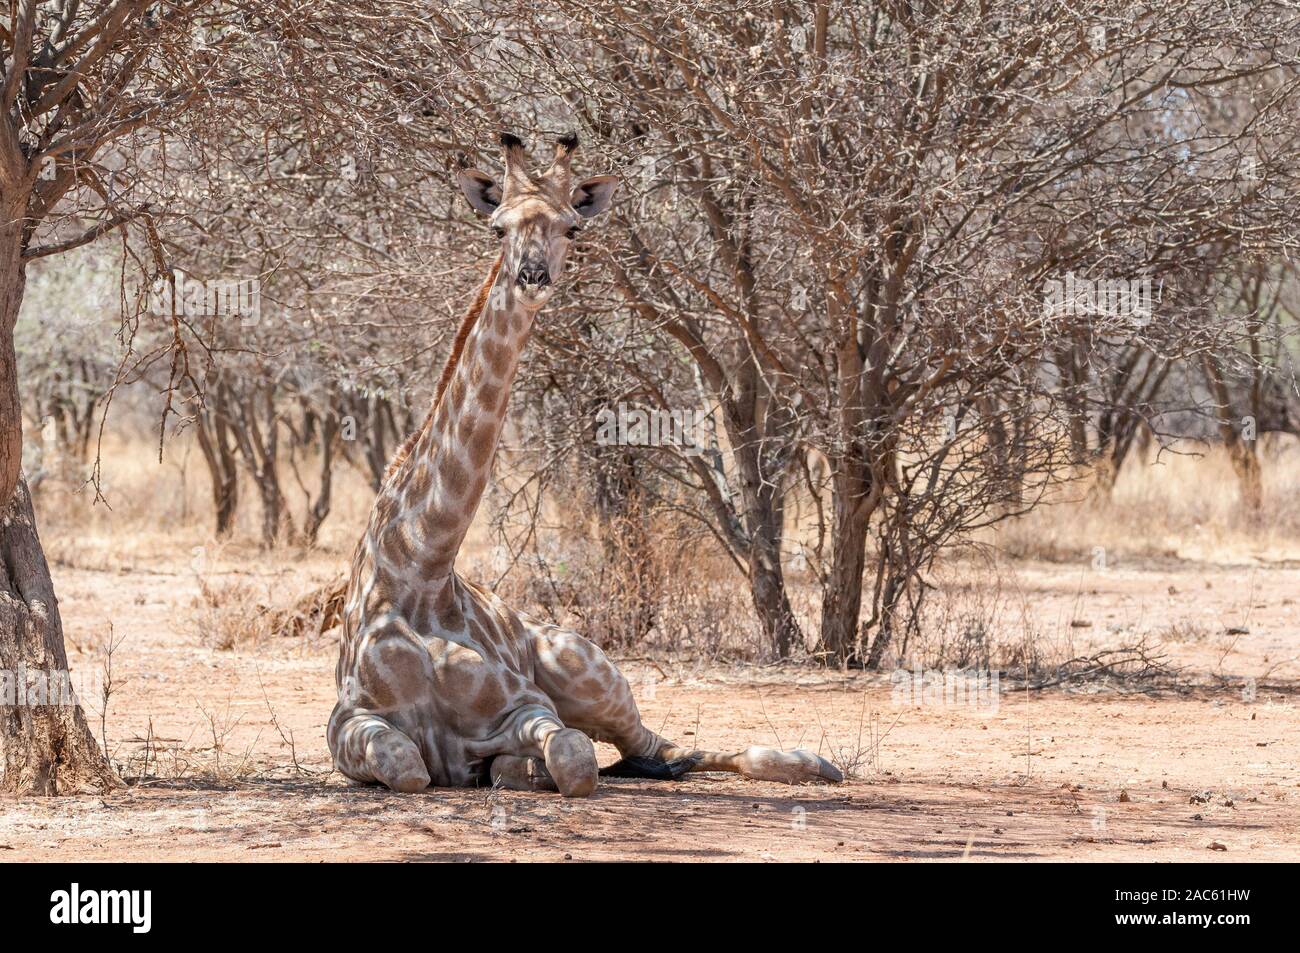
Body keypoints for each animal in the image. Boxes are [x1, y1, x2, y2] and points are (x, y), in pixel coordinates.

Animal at [327, 133, 843, 796]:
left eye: (571, 227)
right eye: (497, 227)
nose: (532, 275)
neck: (422, 568)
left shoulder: (528, 705)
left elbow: (573, 760)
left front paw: (524, 768)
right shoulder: (350, 721)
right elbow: (408, 765)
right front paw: (503, 769)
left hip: (587, 667)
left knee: (659, 748)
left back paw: (813, 762)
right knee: (650, 757)